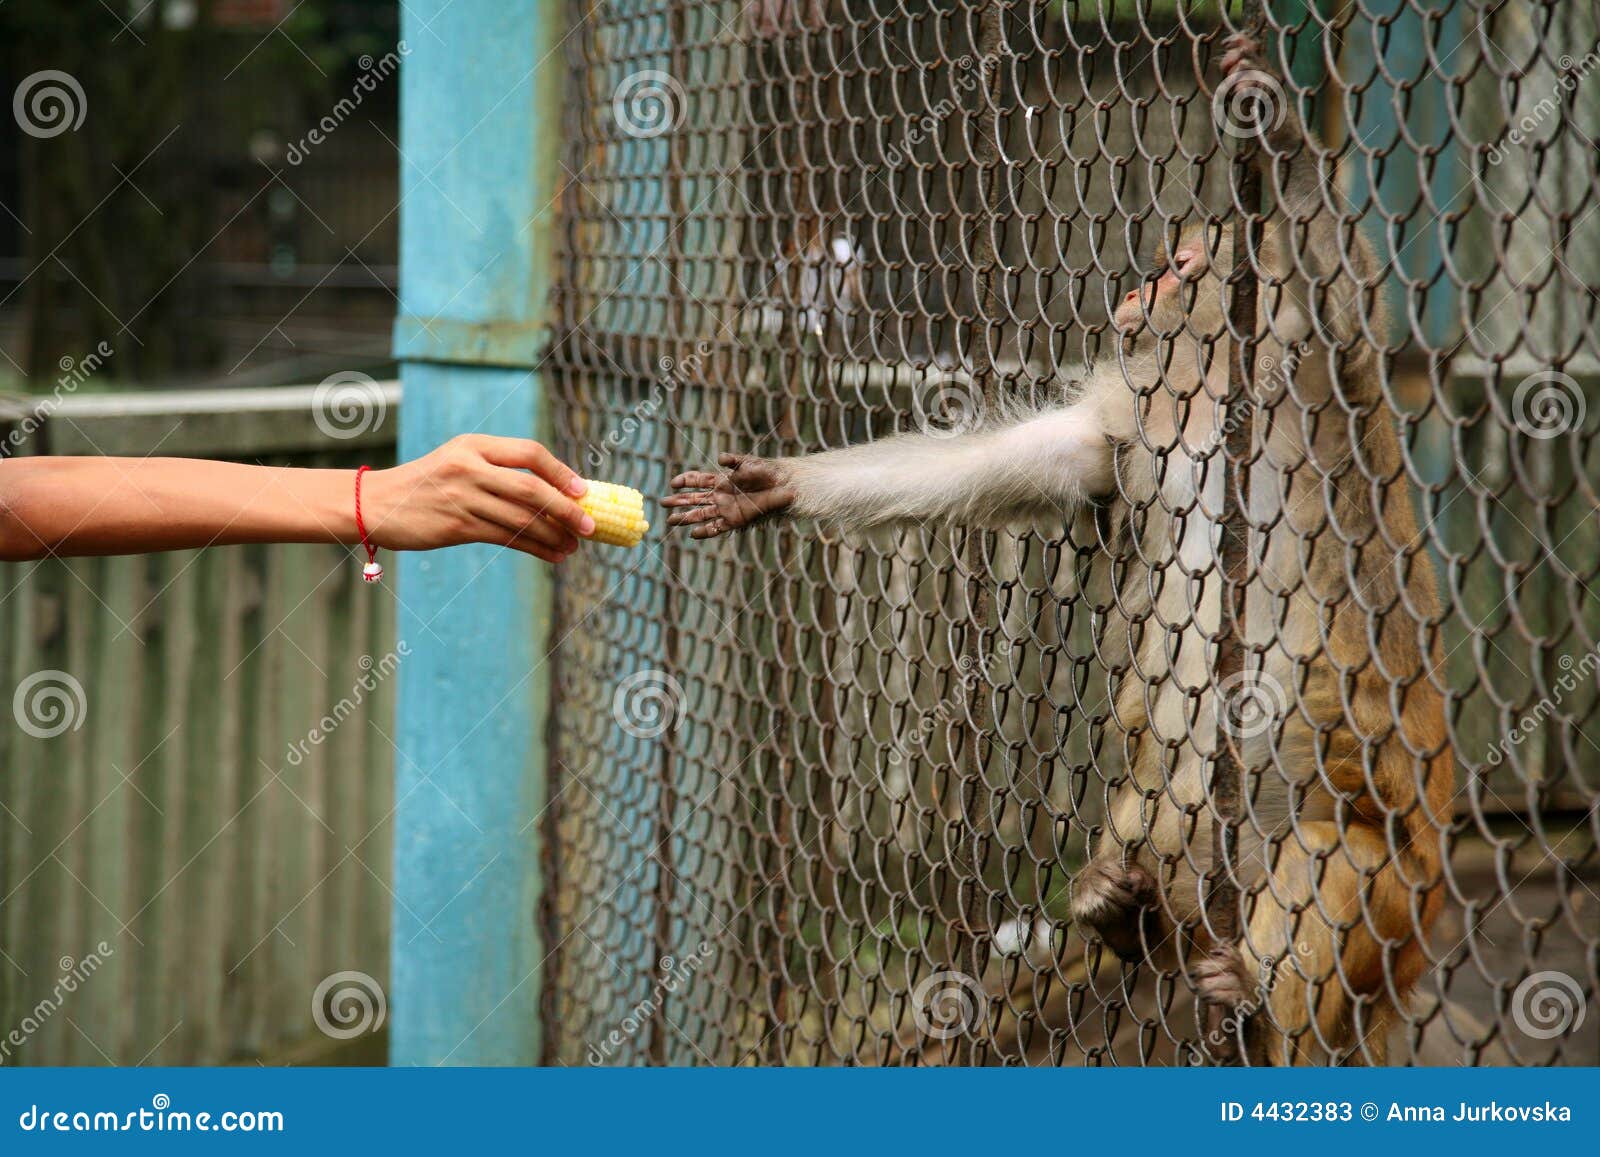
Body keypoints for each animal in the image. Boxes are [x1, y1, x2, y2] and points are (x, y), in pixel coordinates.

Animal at [661, 33, 1454, 1065]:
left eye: (1178, 264)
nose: (1135, 288)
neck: (1211, 390)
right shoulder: (1141, 411)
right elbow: (1039, 458)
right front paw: (778, 488)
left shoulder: (1314, 367)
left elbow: (1338, 285)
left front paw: (1273, 124)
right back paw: (1124, 916)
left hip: (1393, 890)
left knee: (1333, 851)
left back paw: (1246, 1000)